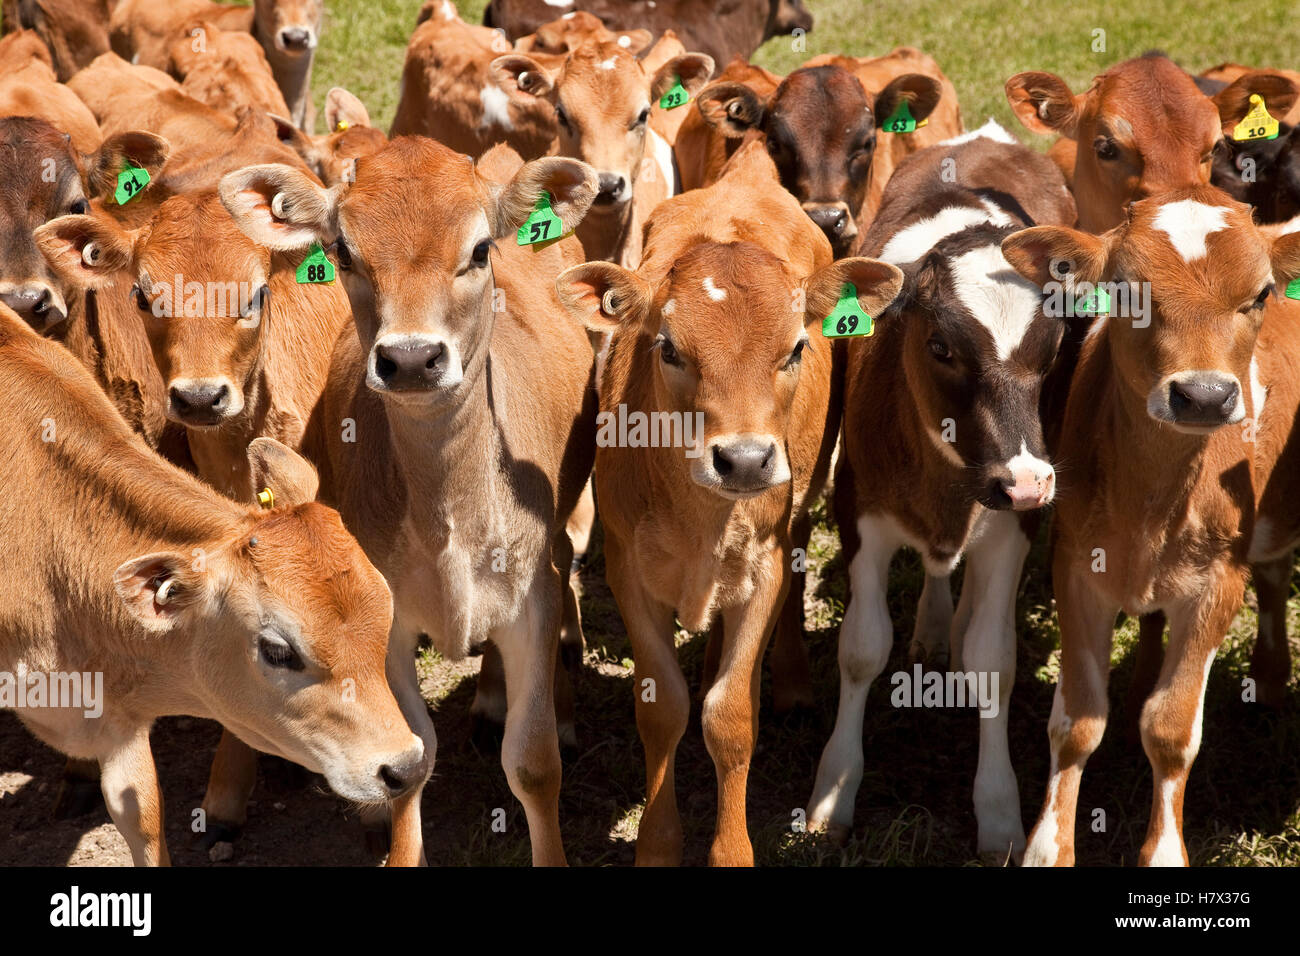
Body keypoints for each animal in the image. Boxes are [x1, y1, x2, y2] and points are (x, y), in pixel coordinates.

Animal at [218, 138, 600, 865]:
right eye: (343, 251)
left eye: (479, 249)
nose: (414, 358)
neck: (449, 509)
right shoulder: (385, 619)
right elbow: (412, 757)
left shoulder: (530, 599)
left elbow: (534, 762)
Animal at [554, 139, 902, 865]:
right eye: (668, 347)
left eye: (795, 347)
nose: (743, 459)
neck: (700, 520)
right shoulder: (629, 571)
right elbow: (662, 708)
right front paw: (658, 845)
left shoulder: (763, 570)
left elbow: (731, 714)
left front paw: (731, 848)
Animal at [806, 125, 1076, 864]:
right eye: (940, 347)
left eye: (1053, 347)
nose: (1028, 479)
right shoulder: (859, 511)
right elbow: (862, 648)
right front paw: (833, 791)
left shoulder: (1014, 529)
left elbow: (994, 660)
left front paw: (1000, 811)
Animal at [1001, 186, 1300, 865]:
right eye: (1124, 292)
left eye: (1261, 294)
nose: (1205, 396)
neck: (1153, 501)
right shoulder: (1077, 566)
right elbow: (1077, 721)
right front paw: (1048, 846)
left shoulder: (1219, 584)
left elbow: (1170, 729)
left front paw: (1163, 852)